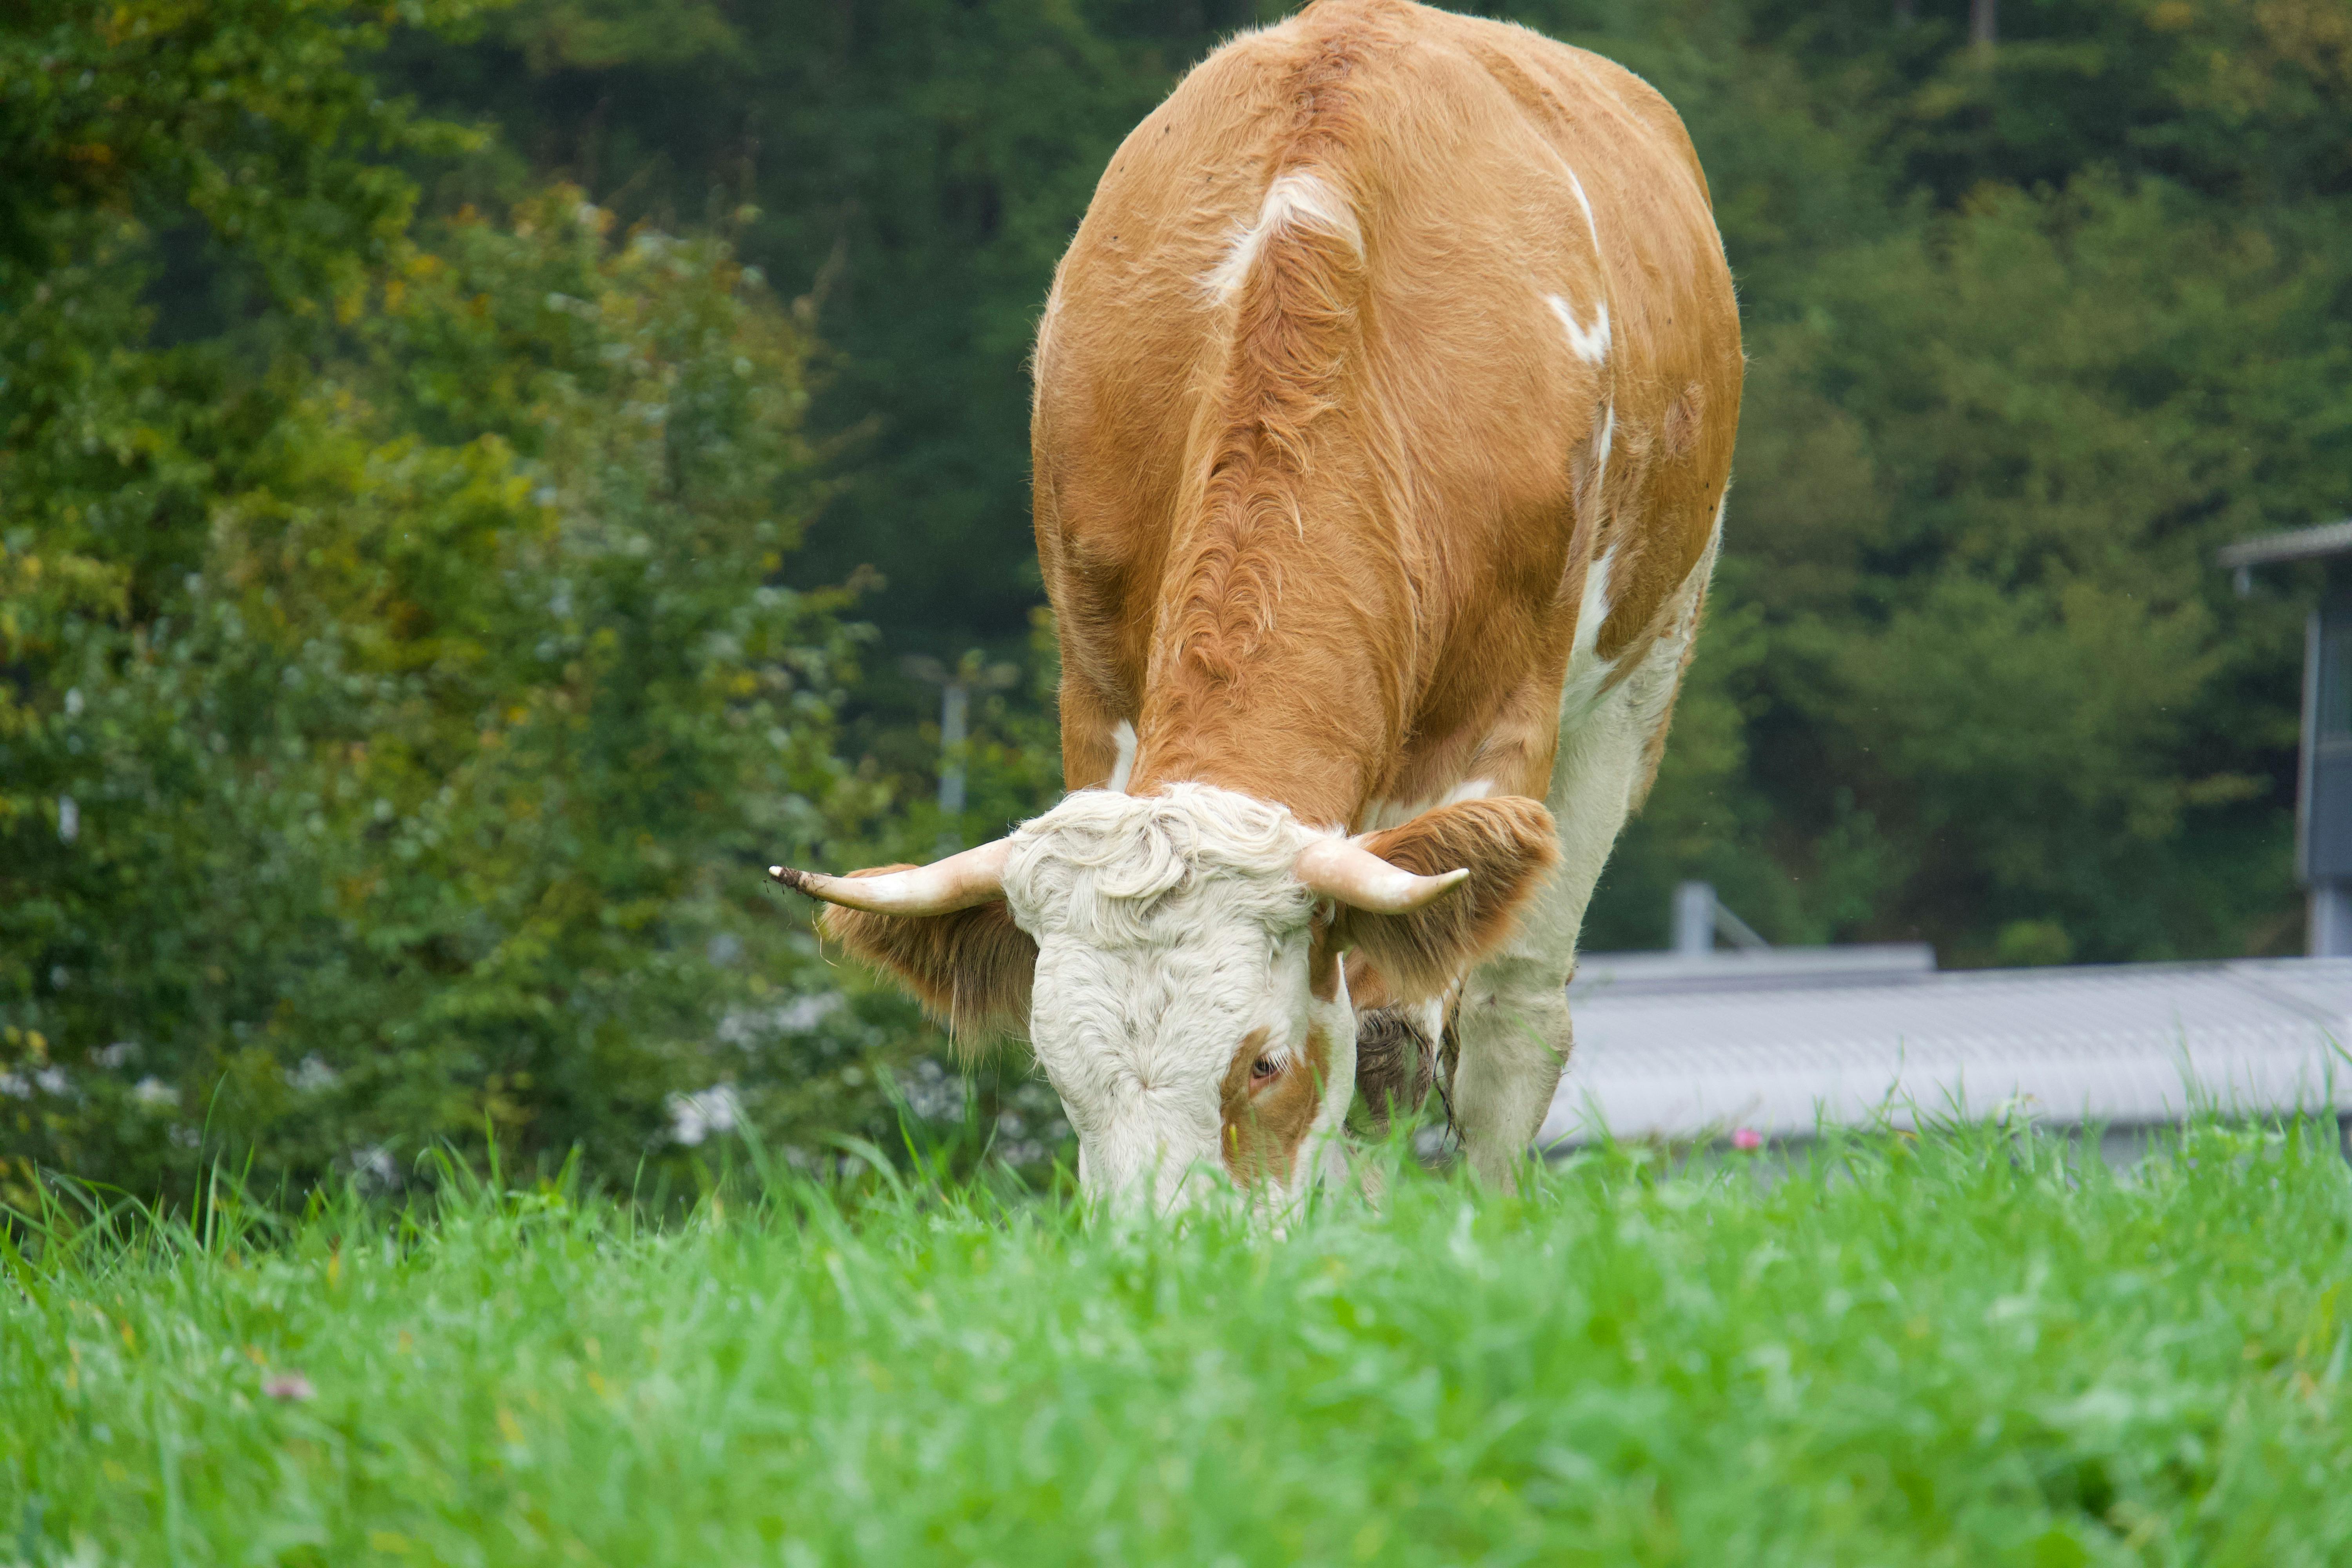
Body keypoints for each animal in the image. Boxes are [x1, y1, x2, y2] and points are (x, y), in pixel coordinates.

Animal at [773, 0, 1742, 1210]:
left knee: (1517, 1014)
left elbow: (1387, 1043)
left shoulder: (1497, 725)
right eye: (1059, 1071)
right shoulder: (1099, 691)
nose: (1156, 1246)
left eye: (1263, 1064)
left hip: (1635, 686)